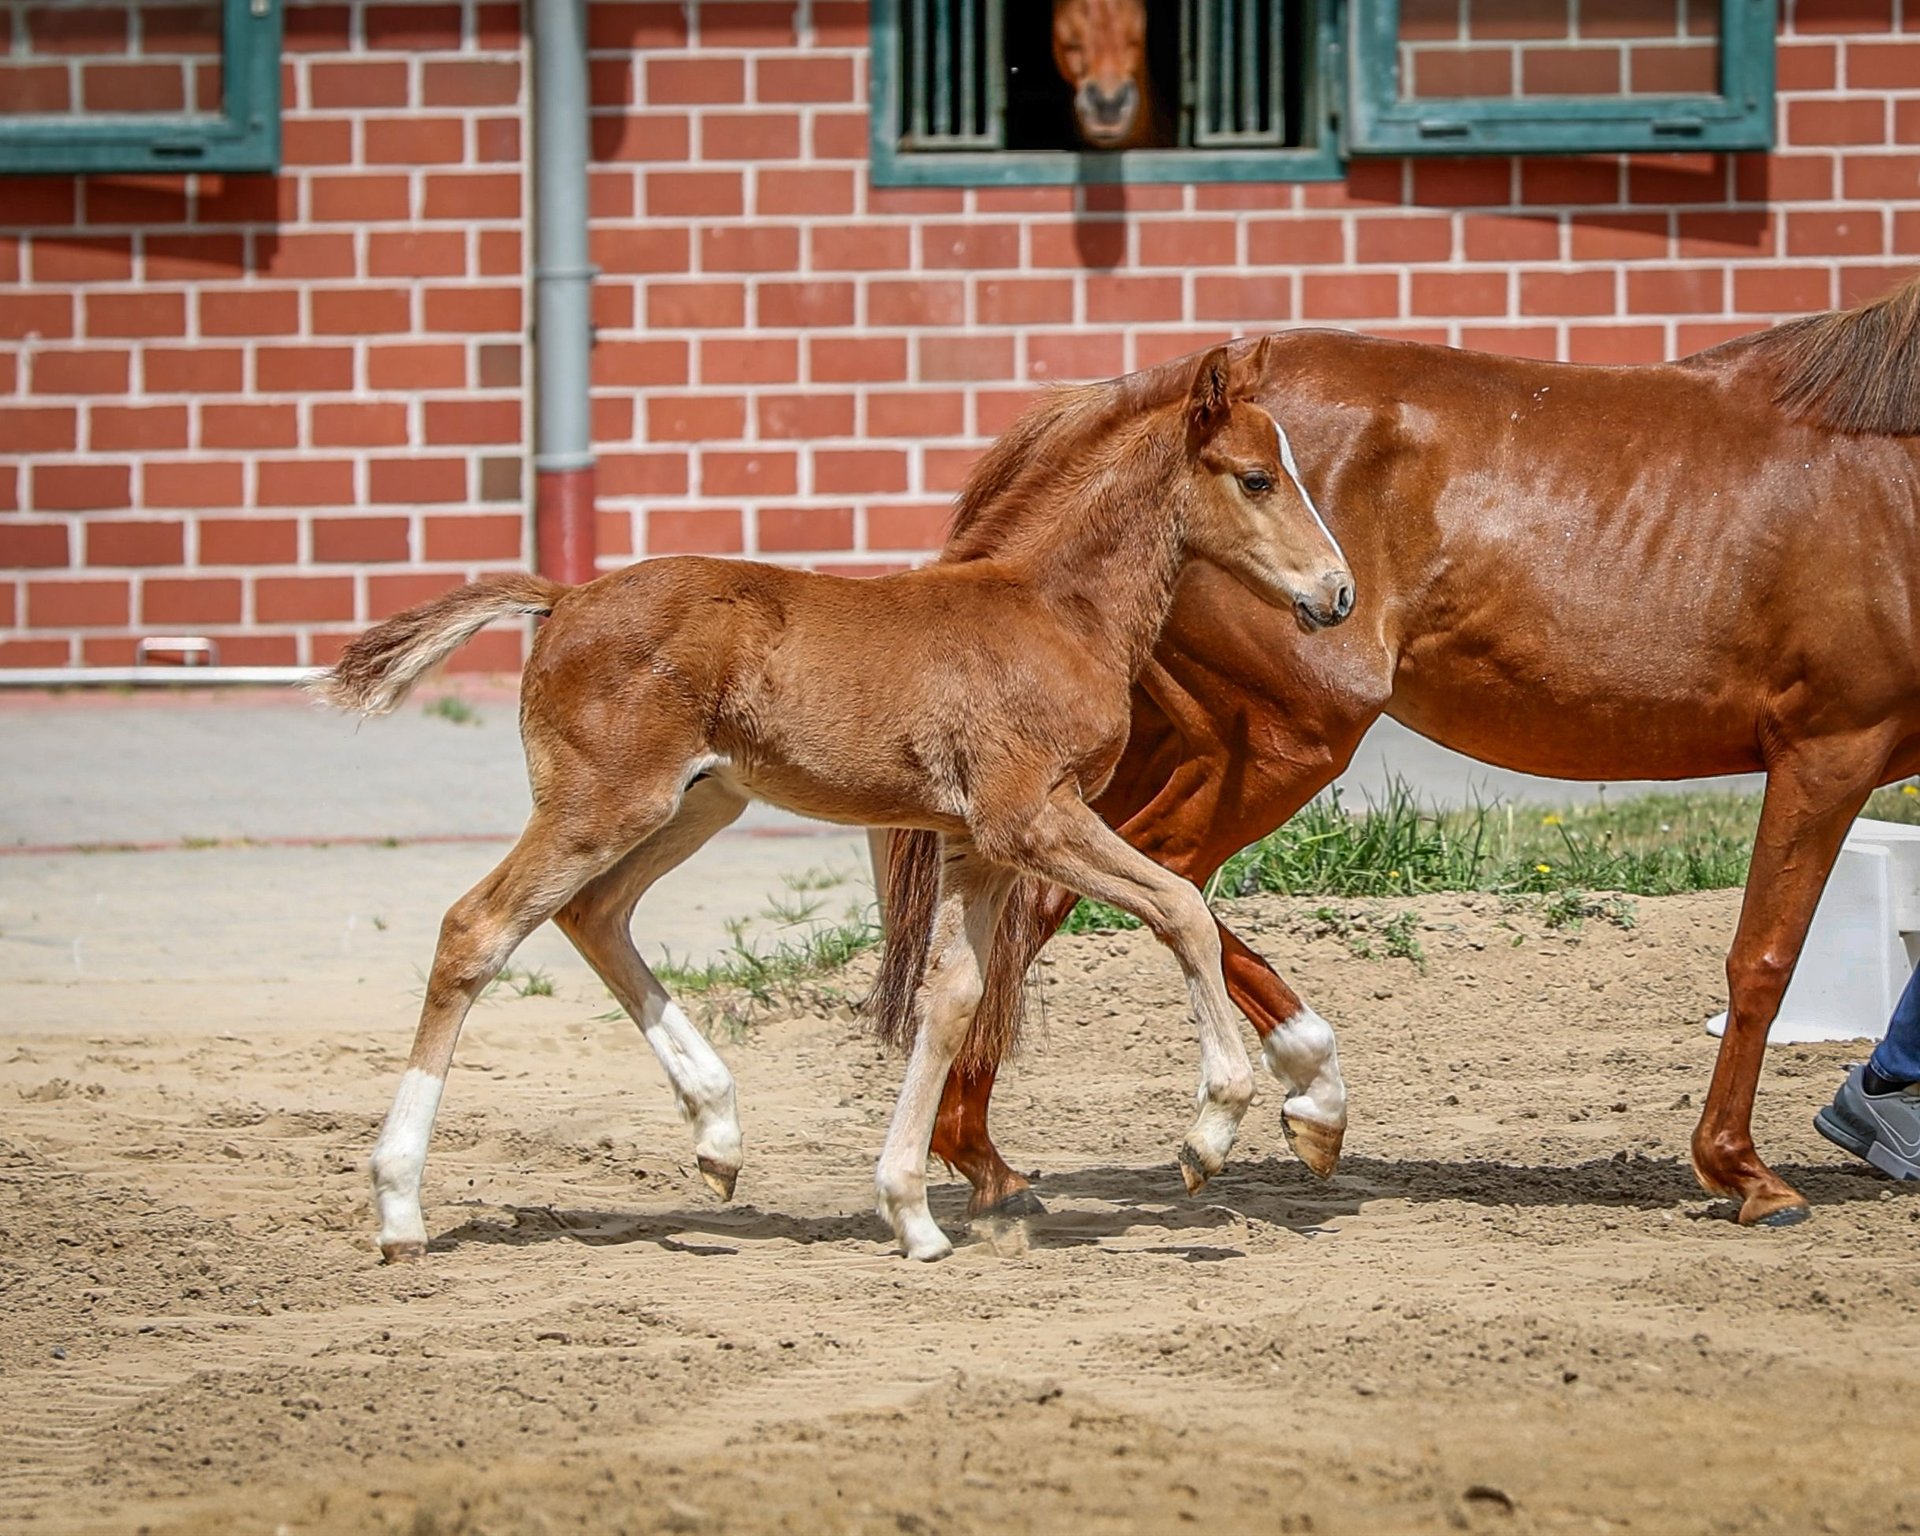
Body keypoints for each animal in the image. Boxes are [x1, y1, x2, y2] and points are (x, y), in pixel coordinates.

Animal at [310, 345, 1354, 1263]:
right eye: (1257, 478)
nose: (1338, 593)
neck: (1054, 613)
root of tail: (562, 598)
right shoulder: (1031, 817)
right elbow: (1180, 909)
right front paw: (1210, 1132)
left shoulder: (980, 843)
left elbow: (953, 997)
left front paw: (911, 1214)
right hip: (603, 803)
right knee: (477, 928)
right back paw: (400, 1209)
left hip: (696, 804)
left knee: (593, 912)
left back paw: (719, 1135)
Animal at [878, 274, 1920, 1234]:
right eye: (1260, 480)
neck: (1884, 472)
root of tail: (1132, 397)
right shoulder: (1828, 750)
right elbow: (1765, 957)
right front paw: (1744, 1174)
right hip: (1288, 737)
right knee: (1133, 889)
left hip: (1152, 744)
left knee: (1115, 892)